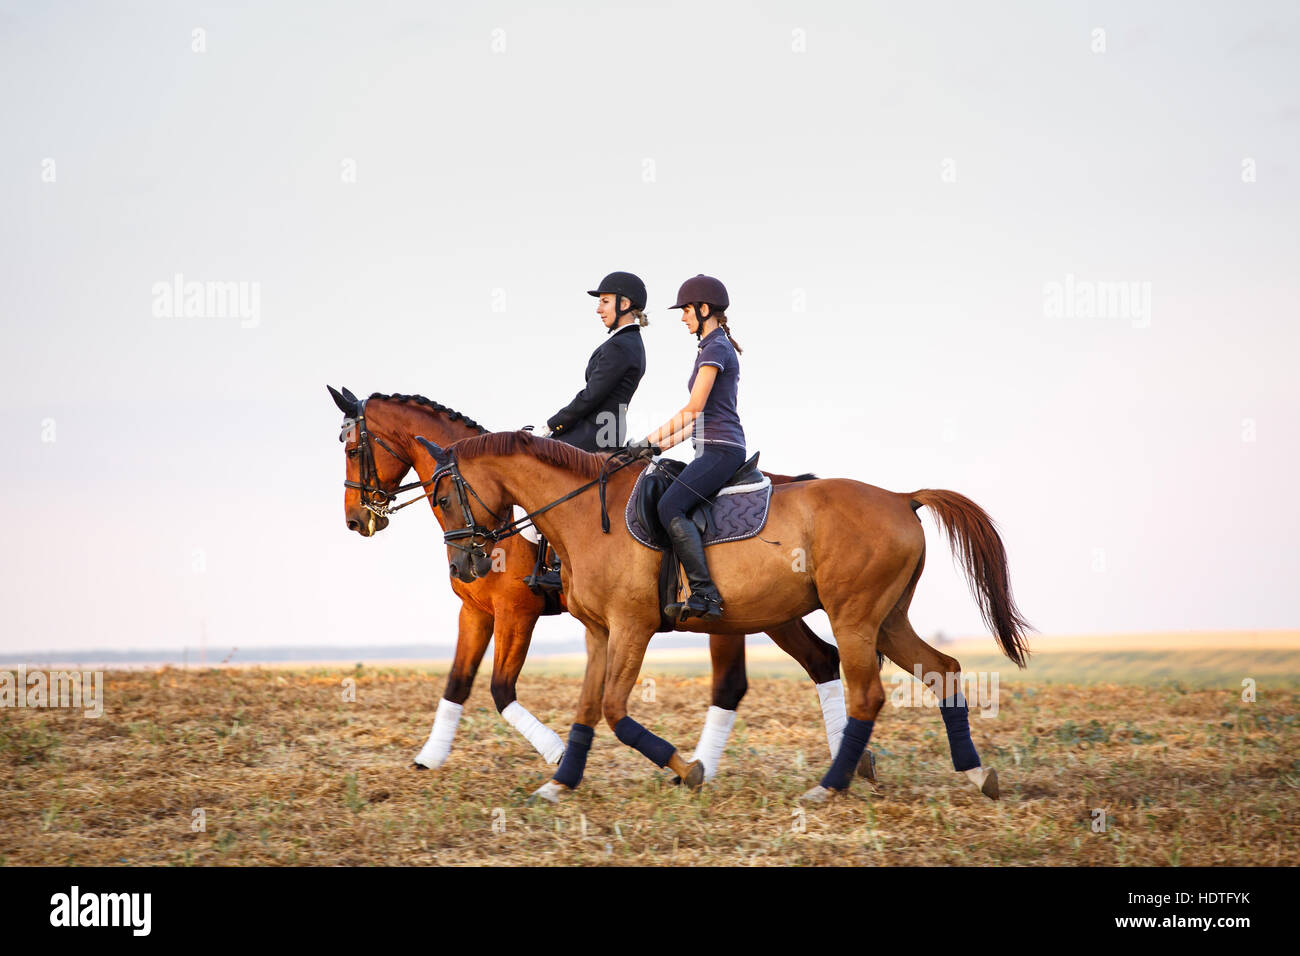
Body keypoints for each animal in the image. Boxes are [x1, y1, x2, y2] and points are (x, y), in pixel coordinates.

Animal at [329, 387, 882, 783]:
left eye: (353, 448)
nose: (357, 520)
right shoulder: (476, 612)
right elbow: (457, 684)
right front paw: (430, 756)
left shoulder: (516, 612)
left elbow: (501, 690)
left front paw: (557, 754)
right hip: (769, 611)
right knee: (819, 661)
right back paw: (852, 760)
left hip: (747, 615)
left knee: (743, 681)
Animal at [414, 430, 1030, 803]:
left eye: (442, 498)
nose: (464, 565)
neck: (587, 512)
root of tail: (901, 497)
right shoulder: (598, 632)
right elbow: (587, 710)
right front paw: (559, 782)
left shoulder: (631, 627)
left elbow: (613, 710)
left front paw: (685, 768)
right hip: (886, 620)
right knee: (942, 670)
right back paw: (975, 773)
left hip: (852, 617)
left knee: (865, 694)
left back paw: (829, 785)